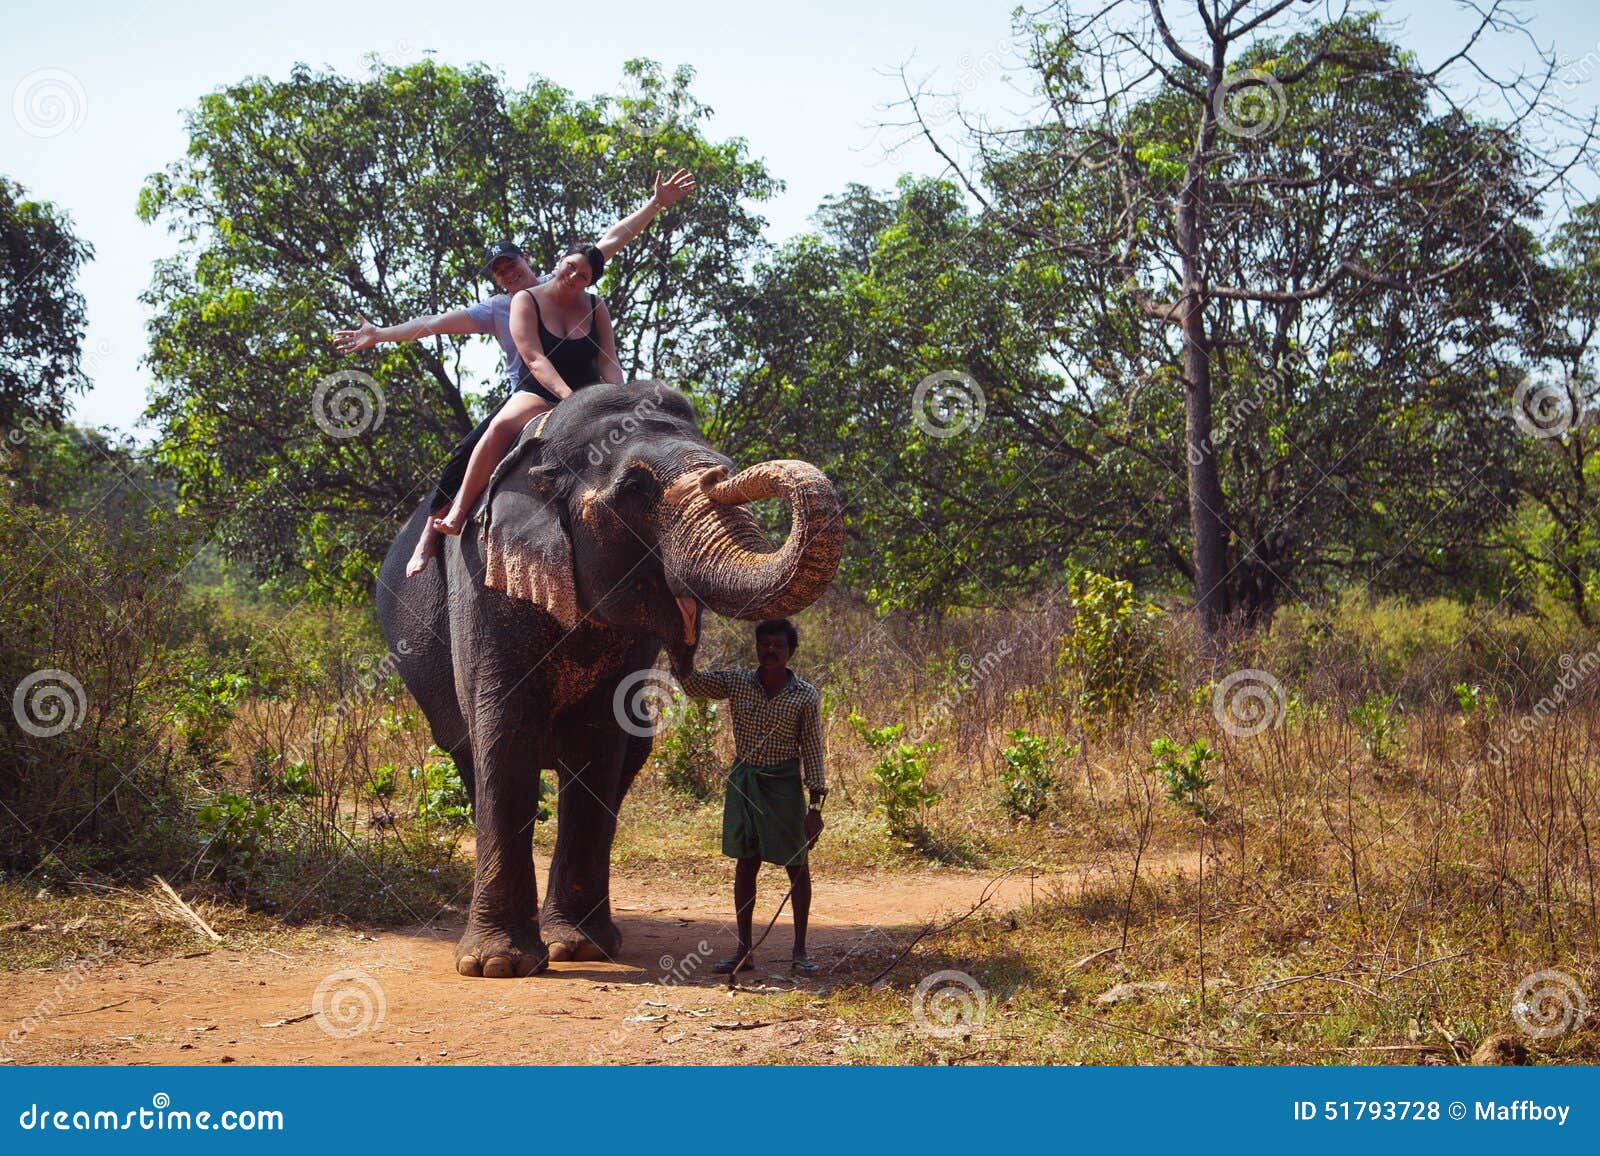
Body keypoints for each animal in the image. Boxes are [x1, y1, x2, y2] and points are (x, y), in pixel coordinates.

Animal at [376, 380, 842, 977]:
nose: (722, 474)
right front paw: (497, 966)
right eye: (635, 489)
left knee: (621, 765)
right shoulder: (480, 576)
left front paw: (579, 950)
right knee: (471, 759)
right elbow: (505, 736)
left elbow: (597, 740)